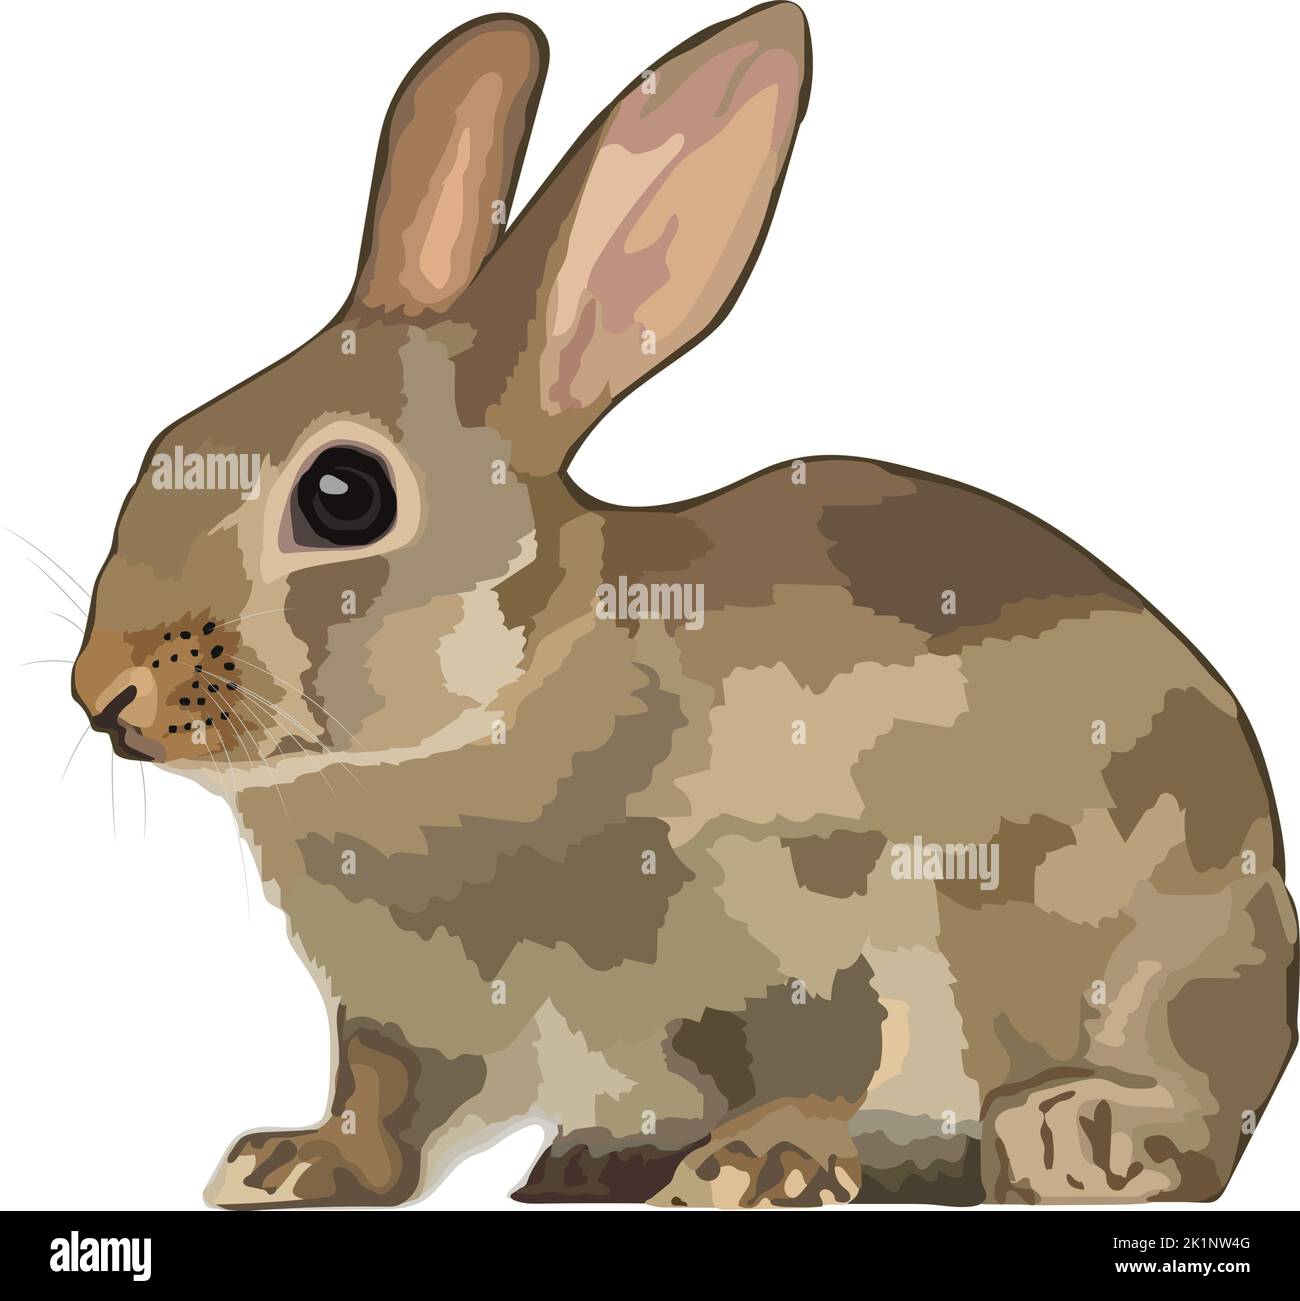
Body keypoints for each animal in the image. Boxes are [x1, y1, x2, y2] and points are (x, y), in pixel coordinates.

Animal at [70, 3, 1296, 1209]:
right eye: (166, 444)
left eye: (343, 496)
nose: (103, 690)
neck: (506, 712)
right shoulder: (400, 1021)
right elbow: (384, 1108)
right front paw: (287, 1165)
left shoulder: (822, 928)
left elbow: (824, 1062)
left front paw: (755, 1168)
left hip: (1176, 952)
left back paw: (1080, 1138)